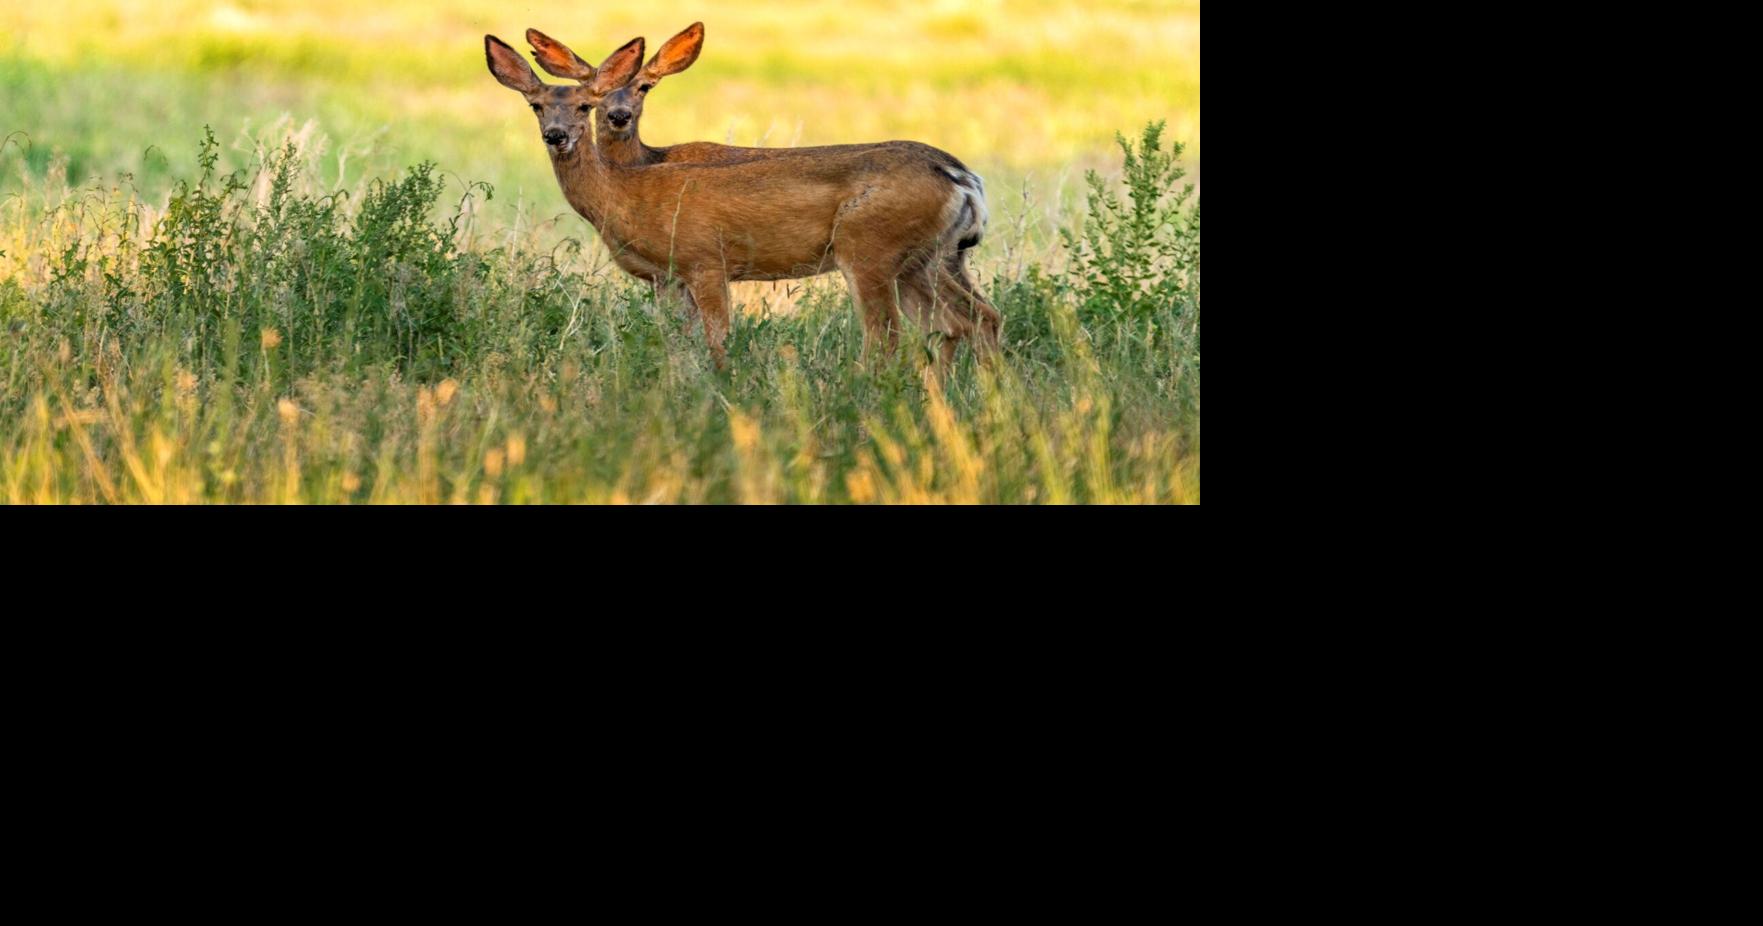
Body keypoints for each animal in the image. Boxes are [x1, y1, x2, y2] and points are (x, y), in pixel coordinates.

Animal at [485, 28, 1000, 370]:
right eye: (536, 105)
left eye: (582, 106)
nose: (556, 135)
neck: (626, 191)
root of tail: (962, 177)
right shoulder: (667, 278)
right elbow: (674, 342)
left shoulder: (704, 259)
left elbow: (717, 341)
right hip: (928, 258)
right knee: (974, 319)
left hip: (870, 247)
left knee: (888, 336)